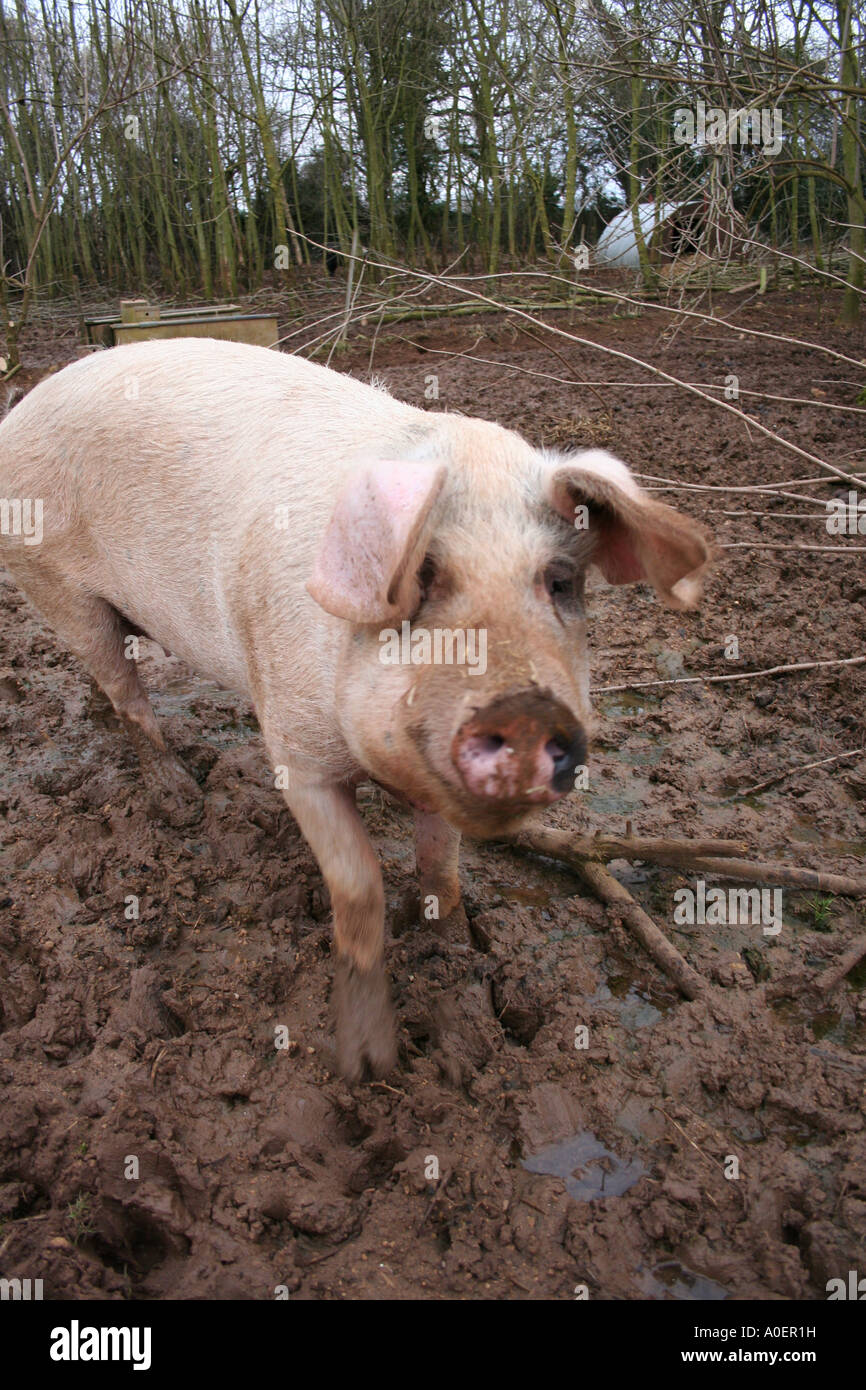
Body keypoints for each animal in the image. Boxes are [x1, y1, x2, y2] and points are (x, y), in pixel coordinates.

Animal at [0, 338, 711, 1079]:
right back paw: (182, 800)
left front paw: (456, 951)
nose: (527, 710)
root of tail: (20, 409)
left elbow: (441, 863)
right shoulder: (295, 753)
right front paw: (370, 1065)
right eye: (422, 576)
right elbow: (359, 885)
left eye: (561, 582)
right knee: (124, 691)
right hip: (52, 582)